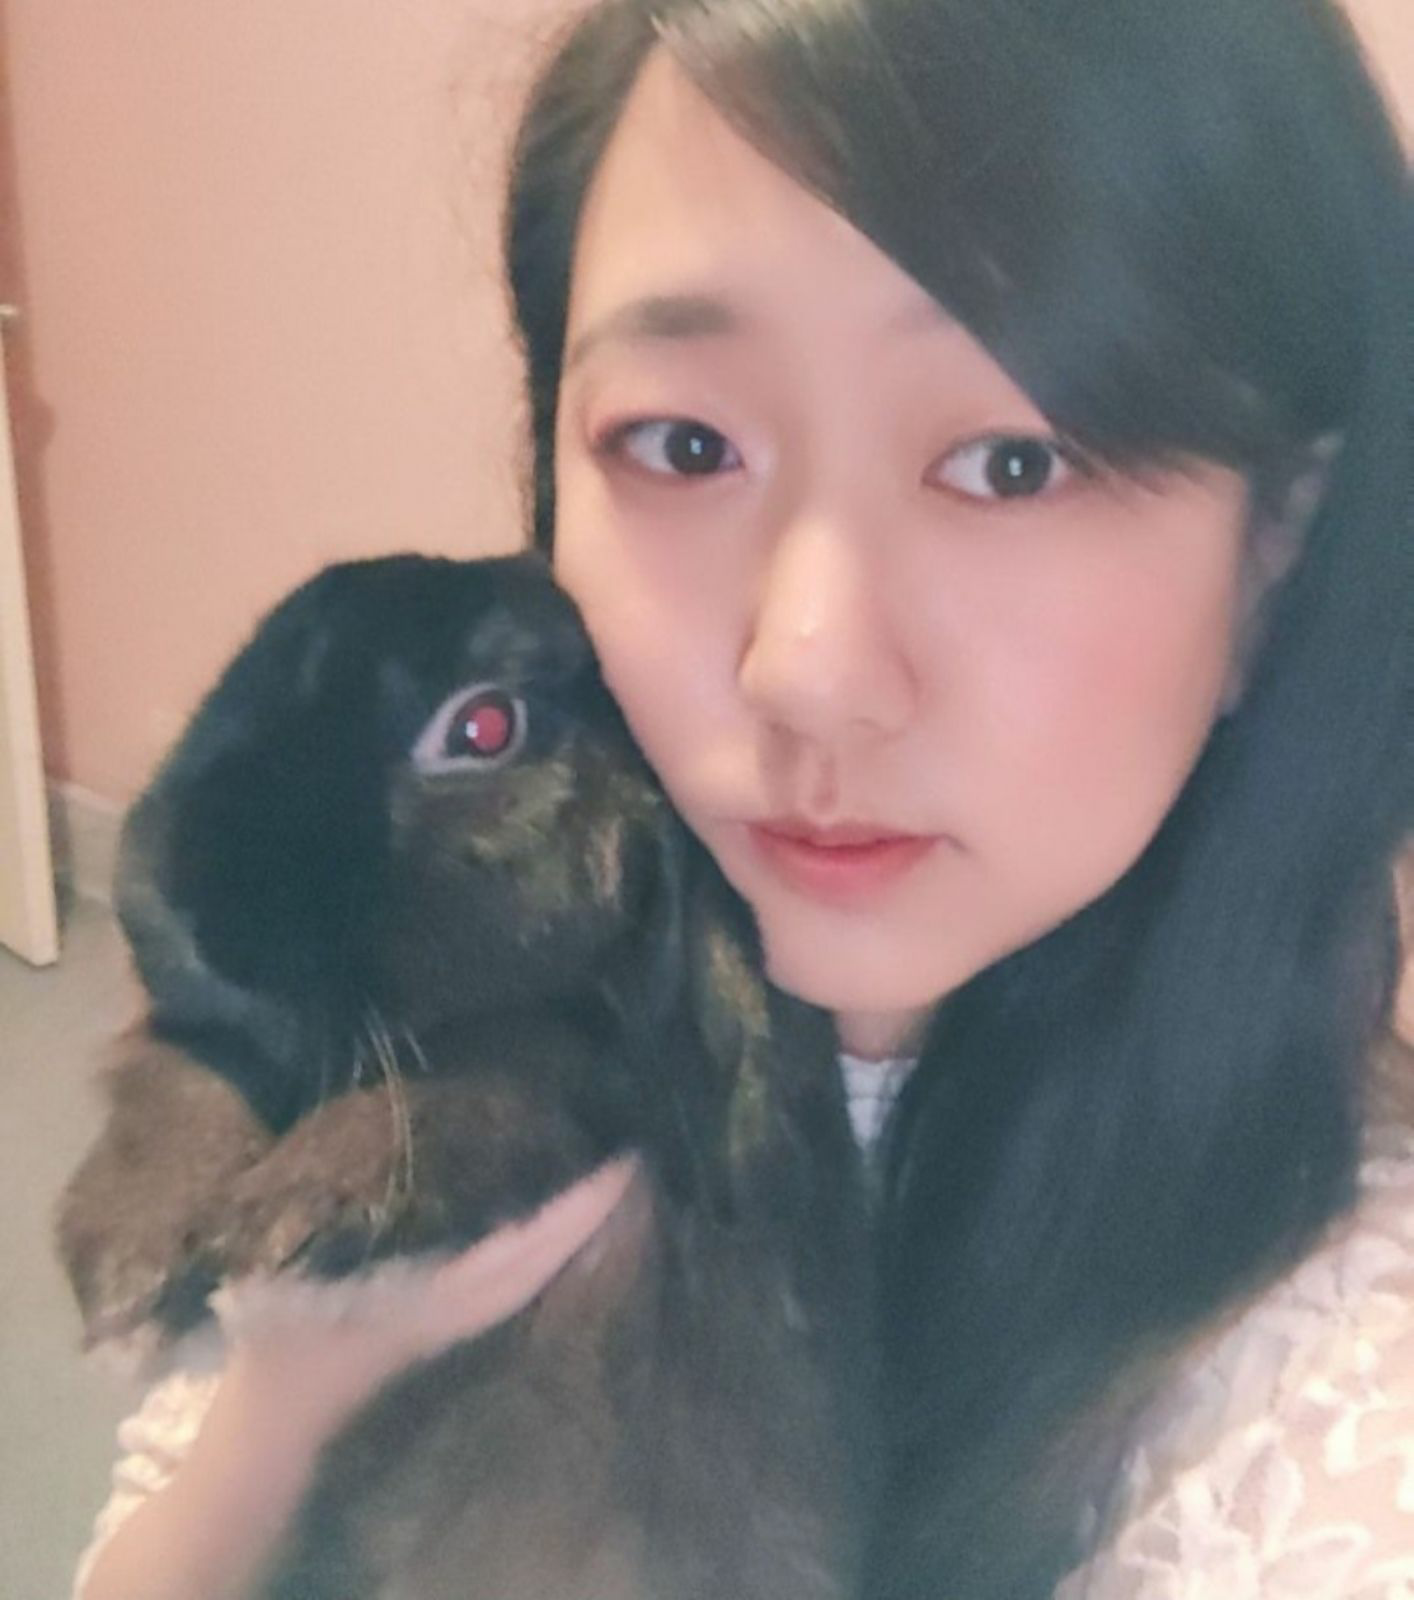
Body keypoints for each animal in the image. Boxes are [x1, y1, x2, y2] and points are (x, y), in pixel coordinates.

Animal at [56, 551, 877, 1600]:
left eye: (483, 729)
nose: (181, 895)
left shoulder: (568, 1073)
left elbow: (481, 1080)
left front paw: (295, 1208)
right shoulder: (222, 1041)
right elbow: (181, 1084)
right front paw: (126, 1260)